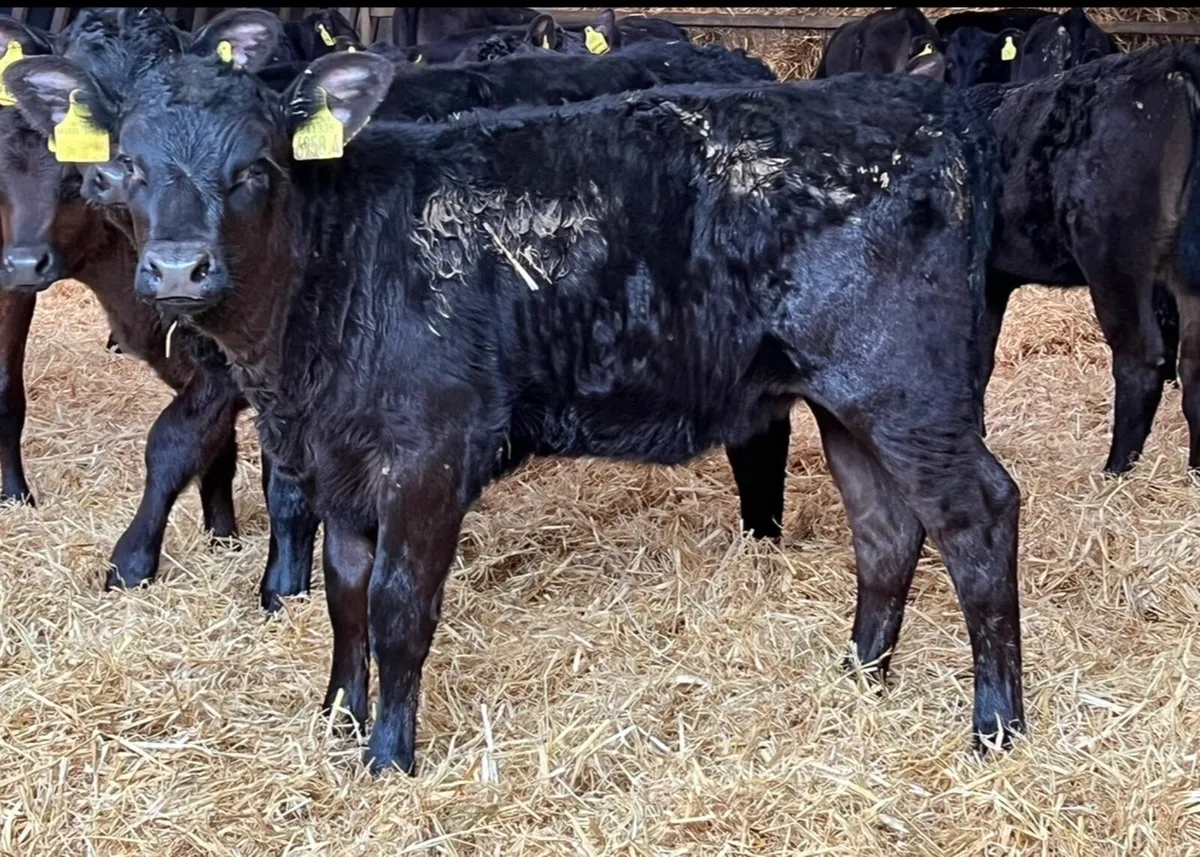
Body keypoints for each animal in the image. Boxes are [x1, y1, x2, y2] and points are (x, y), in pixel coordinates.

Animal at [961, 45, 1200, 474]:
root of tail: (1174, 61)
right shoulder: (991, 279)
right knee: (1194, 368)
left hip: (1113, 262)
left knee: (1140, 360)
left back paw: (1115, 471)